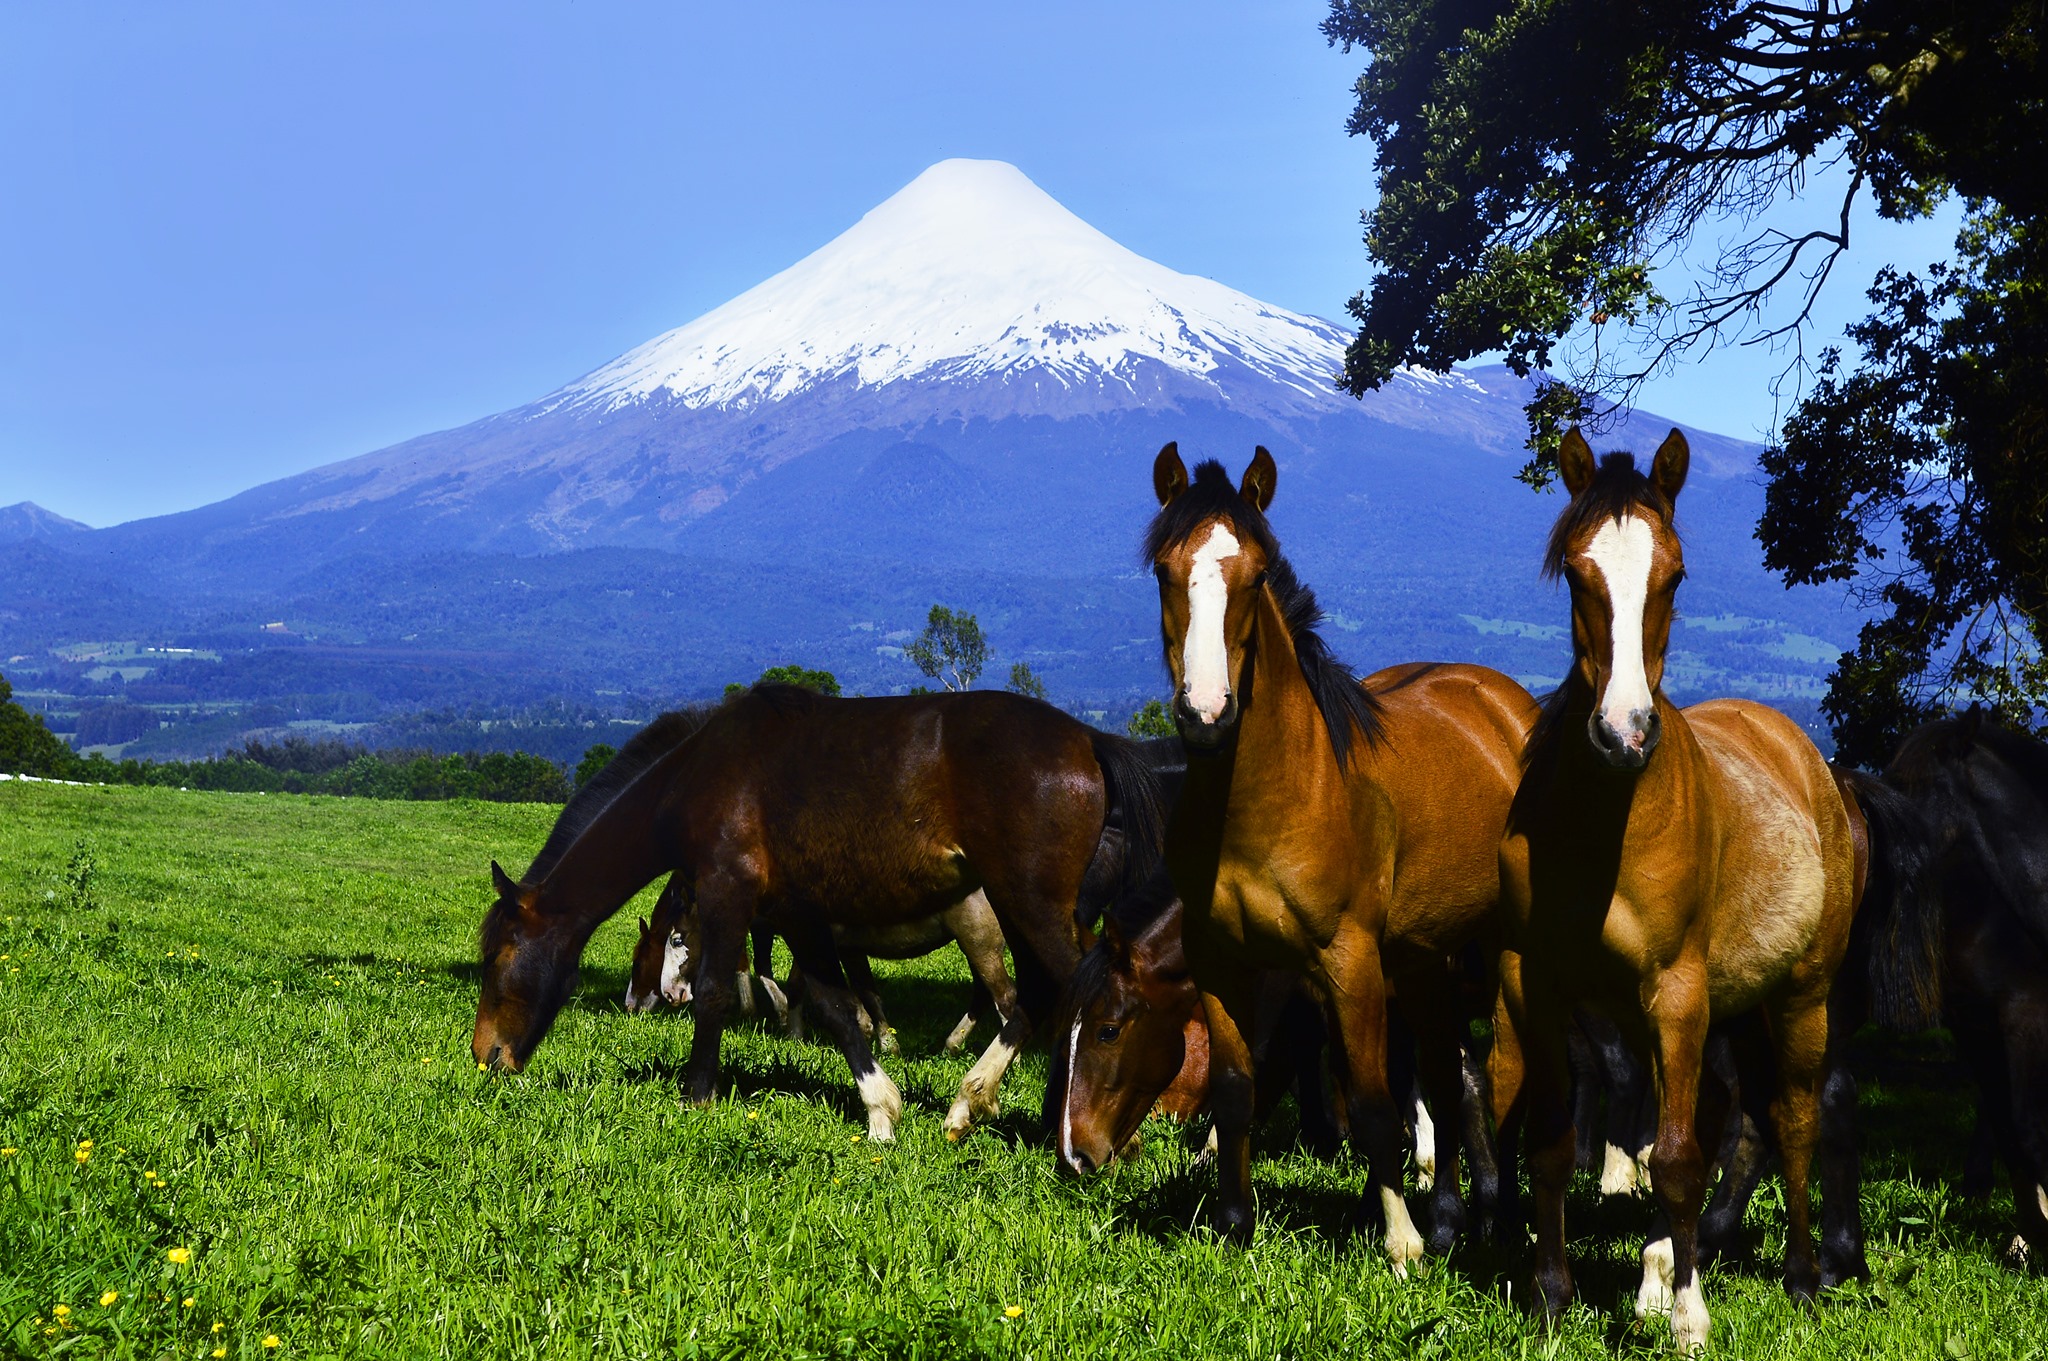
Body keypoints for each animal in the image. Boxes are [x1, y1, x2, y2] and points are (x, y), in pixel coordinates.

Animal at [472, 685, 1165, 1142]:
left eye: (500, 957)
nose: (486, 1055)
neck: (699, 774)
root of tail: (1090, 740)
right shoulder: (800, 918)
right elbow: (836, 1007)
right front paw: (881, 1110)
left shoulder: (727, 896)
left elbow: (716, 992)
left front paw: (698, 1098)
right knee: (1037, 996)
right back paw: (971, 1104)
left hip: (1031, 906)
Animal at [1144, 444, 1536, 1271]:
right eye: (1165, 568)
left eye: (1257, 572)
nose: (1206, 712)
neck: (1274, 795)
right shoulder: (1219, 957)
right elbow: (1235, 1088)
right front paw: (1234, 1222)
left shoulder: (1347, 958)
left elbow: (1375, 1104)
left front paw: (1400, 1243)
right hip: (1422, 957)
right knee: (1450, 1075)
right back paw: (1453, 1219)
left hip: (1495, 953)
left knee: (1500, 1073)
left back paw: (1498, 1222)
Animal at [1490, 427, 1862, 1350]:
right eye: (1577, 571)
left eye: (1676, 574)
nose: (1623, 731)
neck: (1608, 824)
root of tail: (1807, 759)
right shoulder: (1537, 985)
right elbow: (1556, 1144)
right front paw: (1553, 1297)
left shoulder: (1679, 991)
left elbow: (1684, 1159)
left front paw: (1692, 1317)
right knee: (1710, 1114)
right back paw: (1658, 1272)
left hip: (1798, 998)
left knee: (1790, 1121)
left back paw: (1800, 1277)